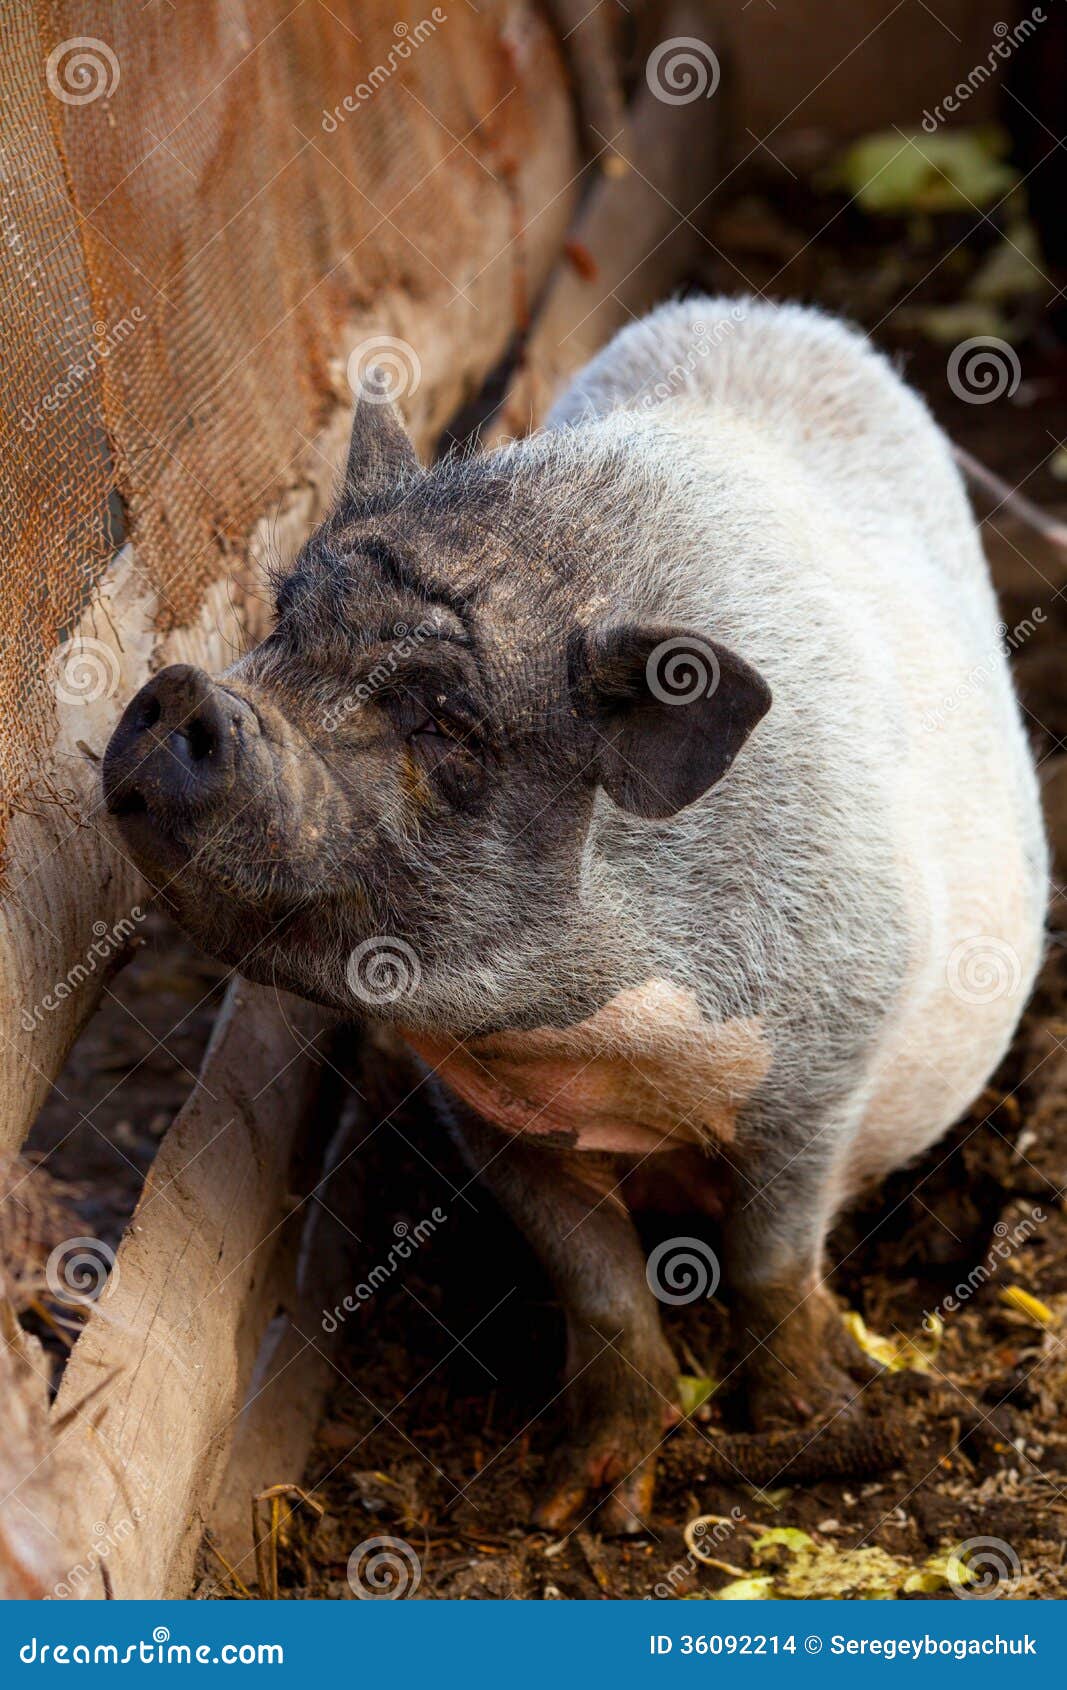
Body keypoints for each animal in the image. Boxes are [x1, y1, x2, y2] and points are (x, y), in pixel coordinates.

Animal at [103, 297, 1048, 1532]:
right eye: (278, 622)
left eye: (447, 718)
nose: (184, 691)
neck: (589, 1051)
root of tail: (775, 311)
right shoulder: (482, 1106)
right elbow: (592, 1280)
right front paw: (578, 1507)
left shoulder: (826, 1055)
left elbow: (769, 1259)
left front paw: (816, 1421)